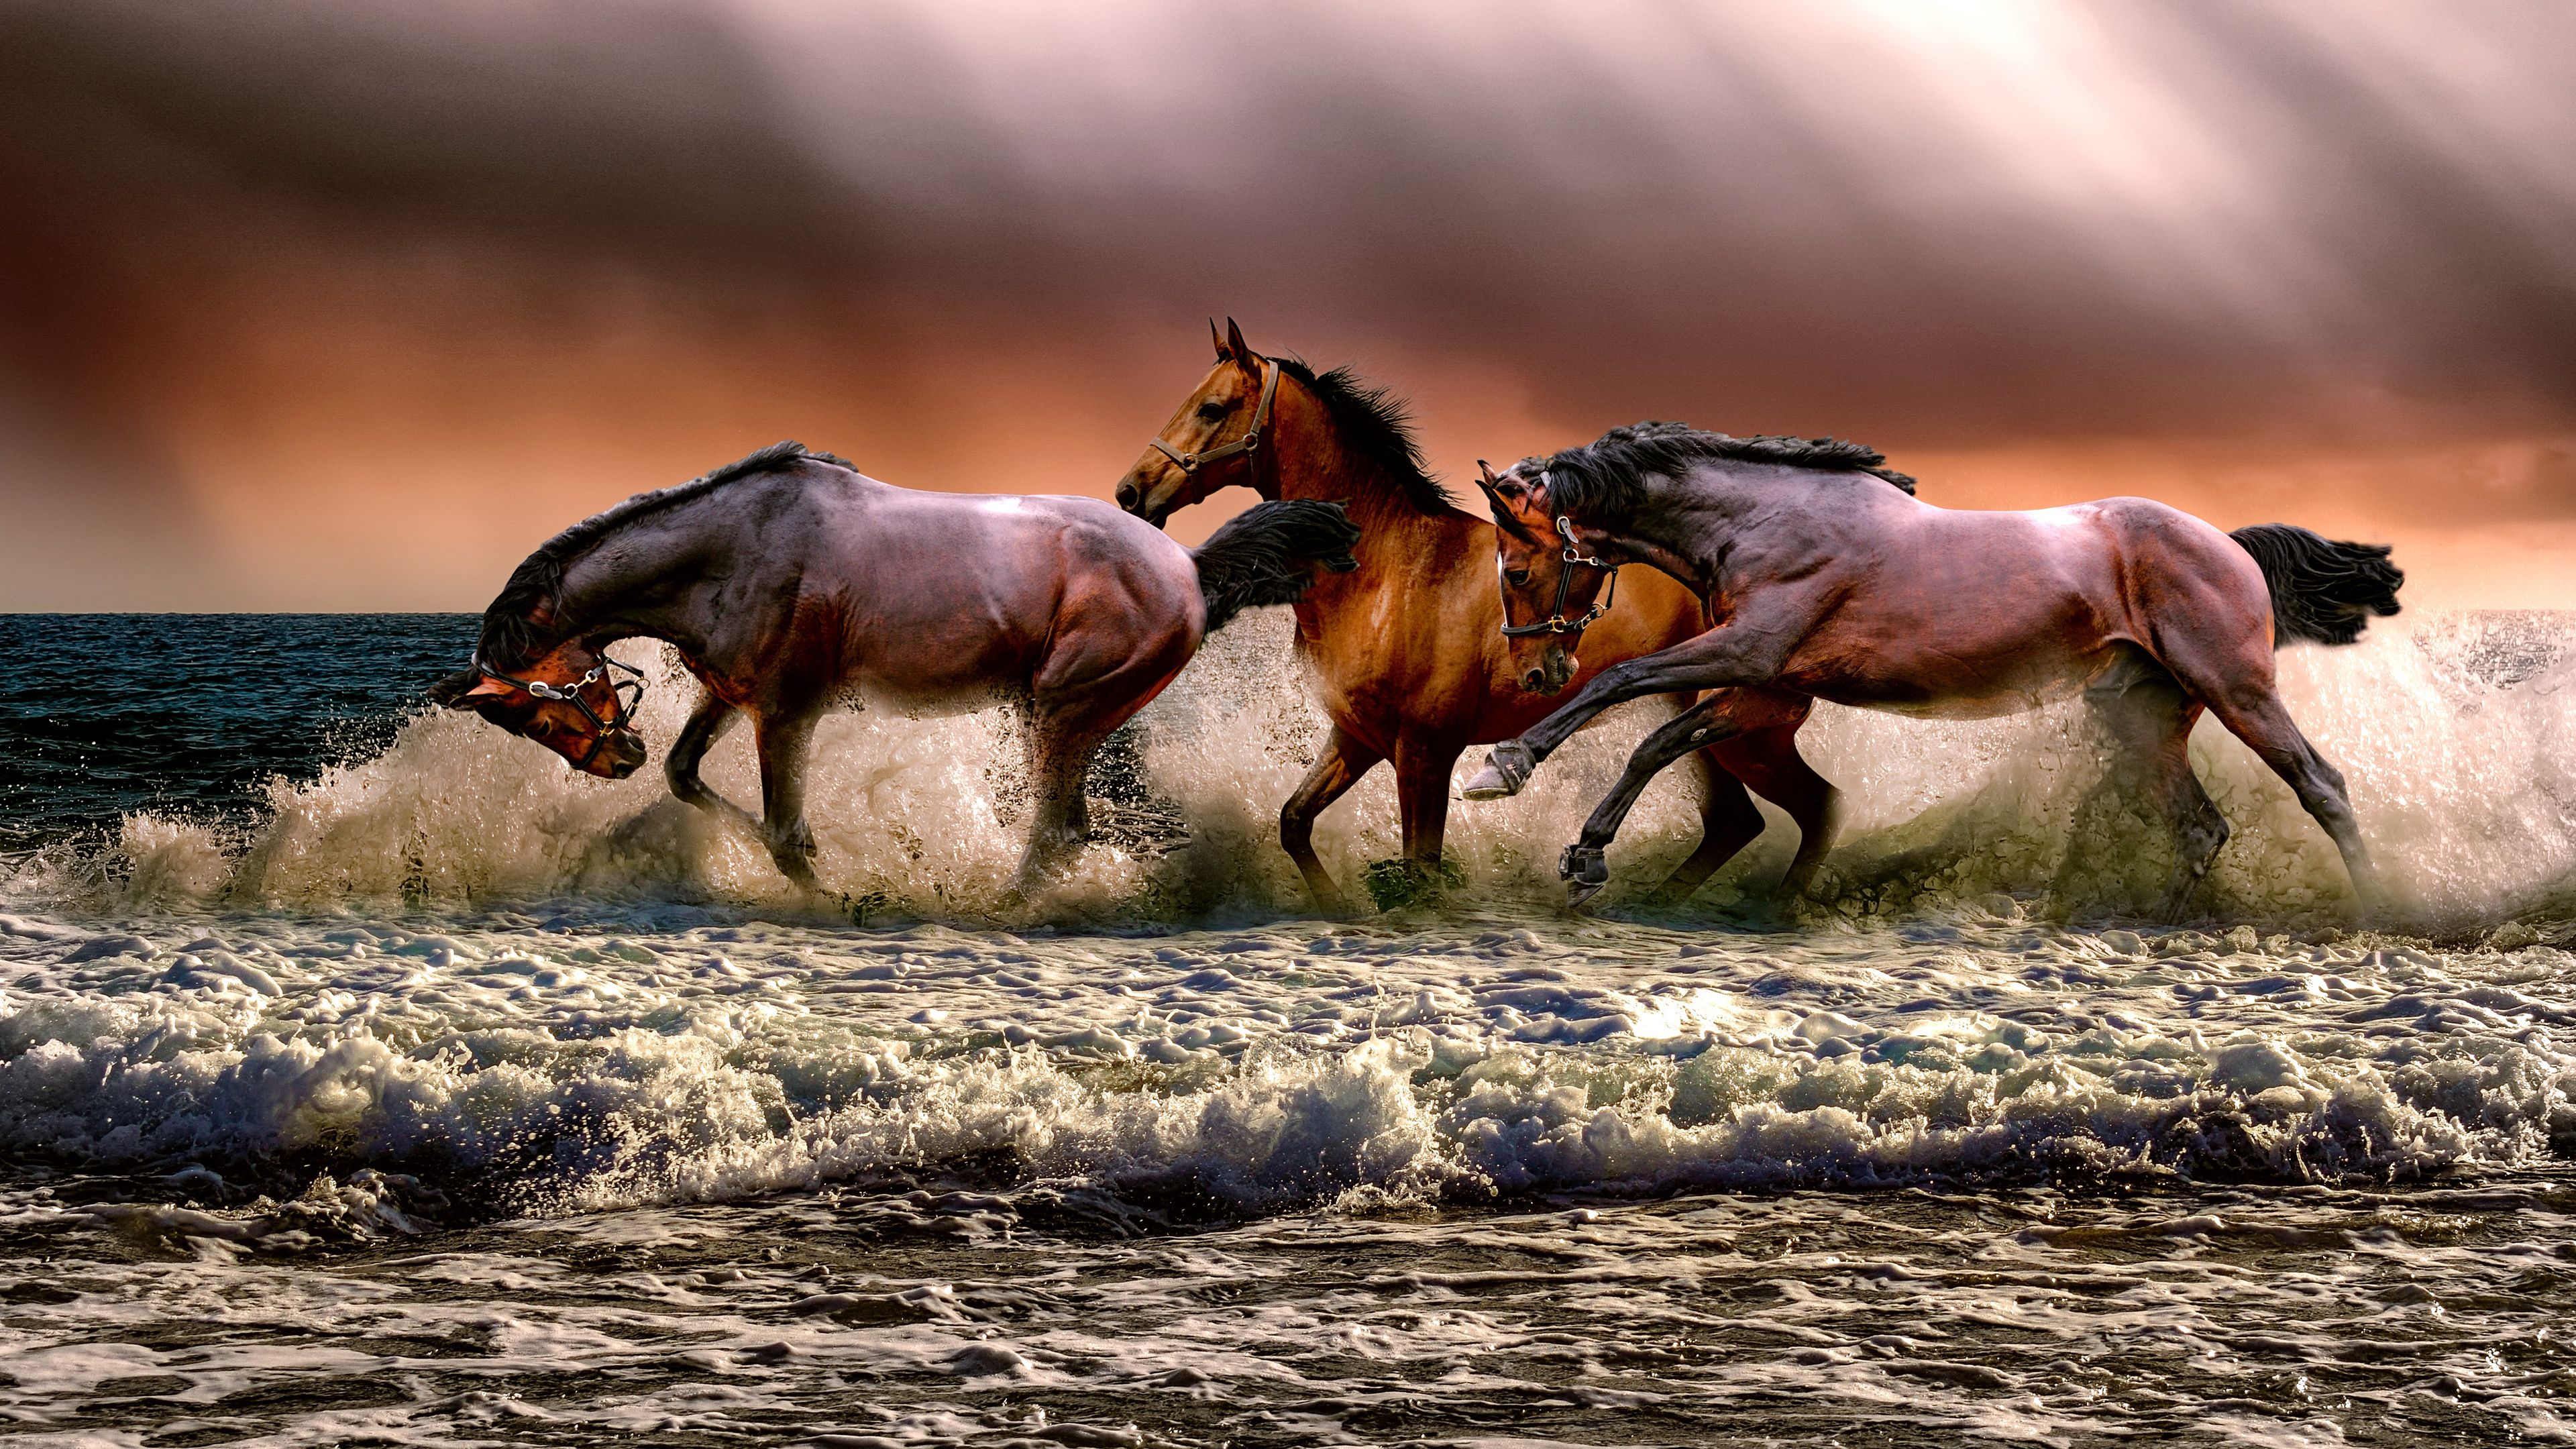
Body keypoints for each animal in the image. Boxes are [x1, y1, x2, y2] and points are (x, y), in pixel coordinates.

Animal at [428, 440, 1360, 898]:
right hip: (1060, 719)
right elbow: (688, 776)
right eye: (521, 721)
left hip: (1064, 711)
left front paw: (834, 896)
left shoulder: (788, 712)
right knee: (1067, 831)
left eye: (538, 702)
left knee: (1055, 833)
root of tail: (1191, 568)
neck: (731, 550)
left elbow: (785, 835)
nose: (613, 759)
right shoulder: (728, 695)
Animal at [1115, 320, 1840, 914]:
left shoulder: (1425, 752)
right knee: (1738, 822)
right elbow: (1295, 822)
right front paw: (1338, 909)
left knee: (1812, 810)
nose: (1131, 492)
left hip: (1744, 735)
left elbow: (1421, 872)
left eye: (1211, 408)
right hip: (1709, 736)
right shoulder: (1356, 739)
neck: (1390, 573)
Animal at [1461, 423, 2404, 918]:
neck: (1763, 521)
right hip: (2143, 718)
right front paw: (1586, 854)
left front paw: (1503, 768)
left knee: (2322, 785)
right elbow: (1657, 742)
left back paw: (2382, 906)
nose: (1538, 666)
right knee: (2200, 827)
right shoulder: (1767, 688)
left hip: (2235, 690)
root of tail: (2228, 544)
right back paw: (2149, 928)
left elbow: (1620, 688)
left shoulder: (1750, 653)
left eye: (1517, 568)